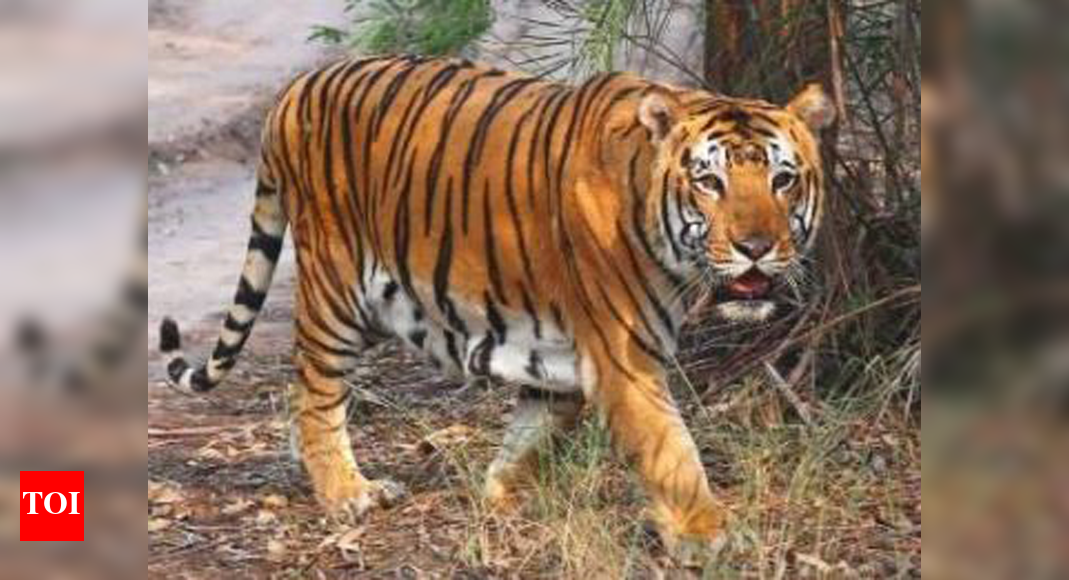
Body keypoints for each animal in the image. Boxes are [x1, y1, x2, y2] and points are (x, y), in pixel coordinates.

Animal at [158, 55, 834, 563]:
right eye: (709, 182)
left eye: (783, 180)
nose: (756, 248)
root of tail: (297, 88)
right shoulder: (625, 357)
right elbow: (672, 450)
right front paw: (709, 535)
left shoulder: (563, 355)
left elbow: (536, 429)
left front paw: (504, 492)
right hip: (337, 289)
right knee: (318, 387)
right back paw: (348, 492)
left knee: (300, 387)